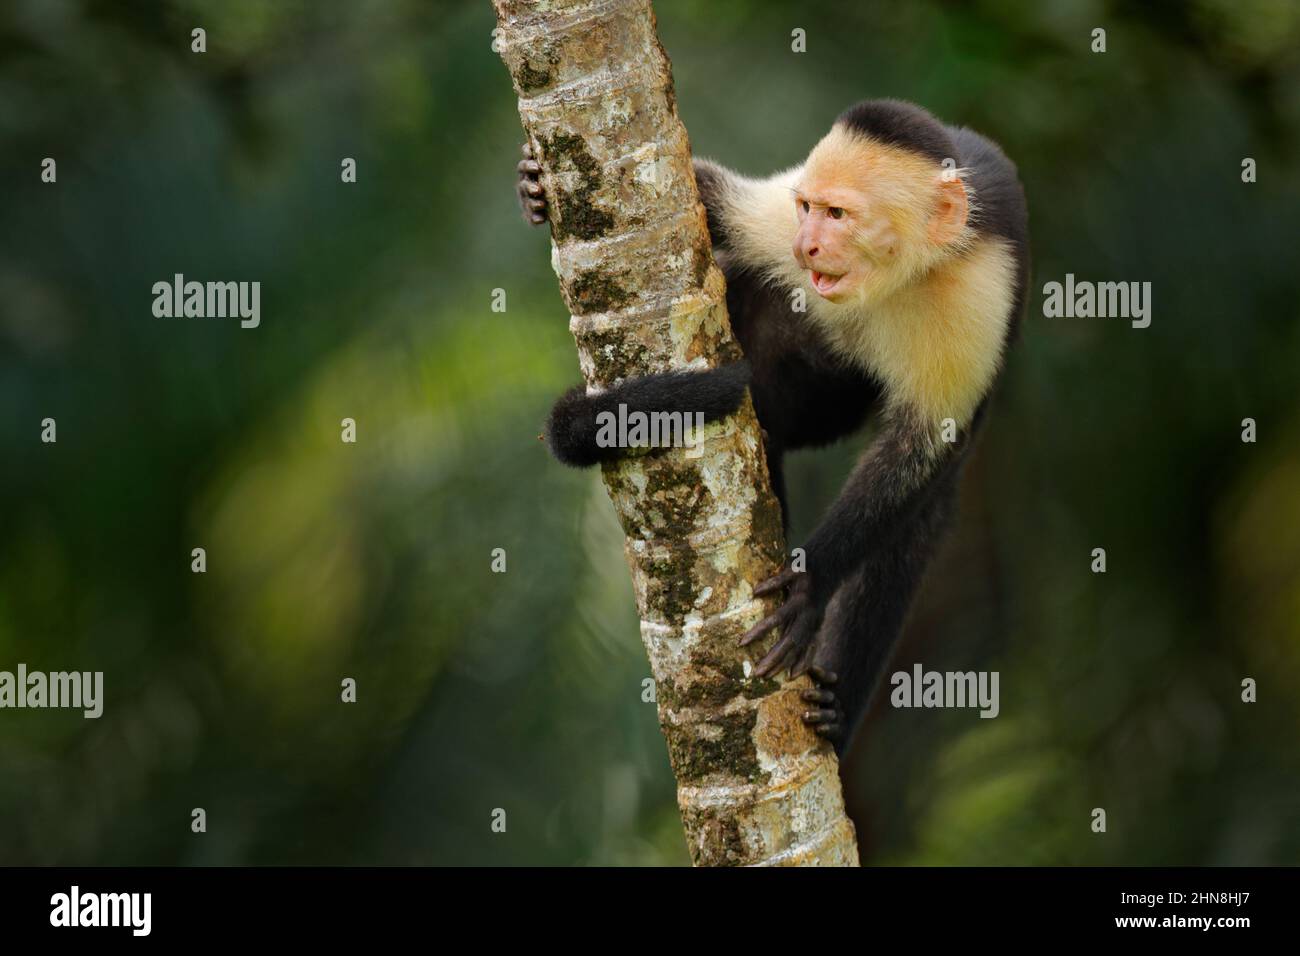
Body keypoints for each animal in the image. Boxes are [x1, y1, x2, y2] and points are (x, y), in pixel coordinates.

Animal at [517, 99, 1029, 756]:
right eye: (810, 207)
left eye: (839, 215)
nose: (808, 245)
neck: (893, 276)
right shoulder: (782, 219)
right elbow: (714, 207)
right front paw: (533, 183)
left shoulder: (978, 292)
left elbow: (920, 450)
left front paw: (812, 580)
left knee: (919, 517)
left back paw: (835, 706)